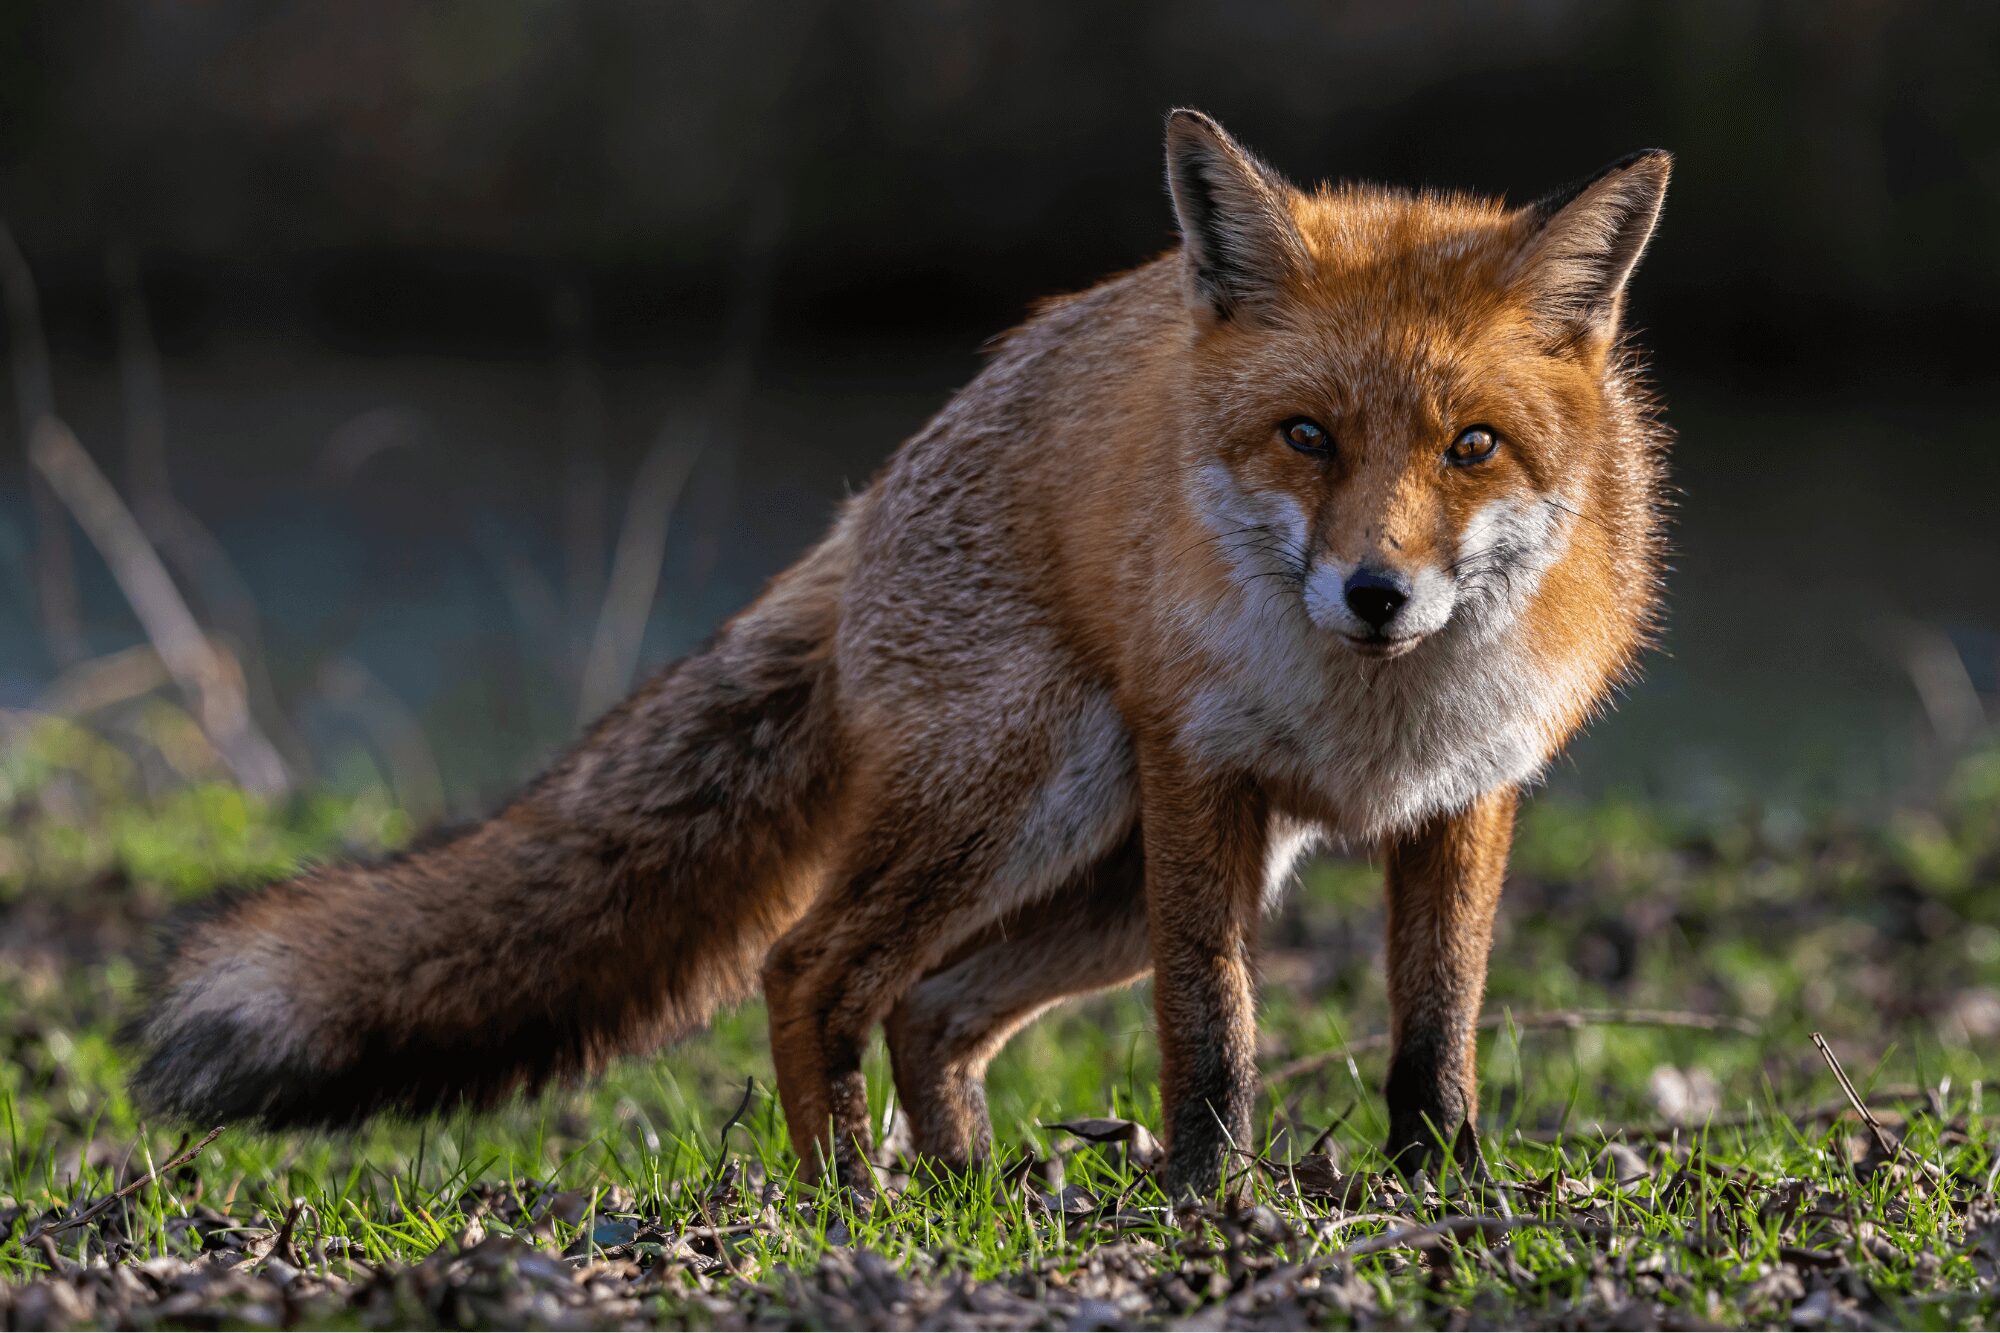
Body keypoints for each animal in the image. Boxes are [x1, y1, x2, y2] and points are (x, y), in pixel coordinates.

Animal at [132, 110, 1671, 1198]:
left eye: (1471, 447)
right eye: (1306, 436)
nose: (1375, 593)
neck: (1371, 717)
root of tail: (872, 495)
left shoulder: (1466, 796)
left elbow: (1435, 1029)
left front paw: (1440, 1187)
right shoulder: (1202, 777)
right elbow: (1211, 1026)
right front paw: (1209, 1195)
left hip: (1105, 875)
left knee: (931, 1004)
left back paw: (972, 1189)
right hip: (1033, 801)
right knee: (812, 967)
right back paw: (848, 1196)